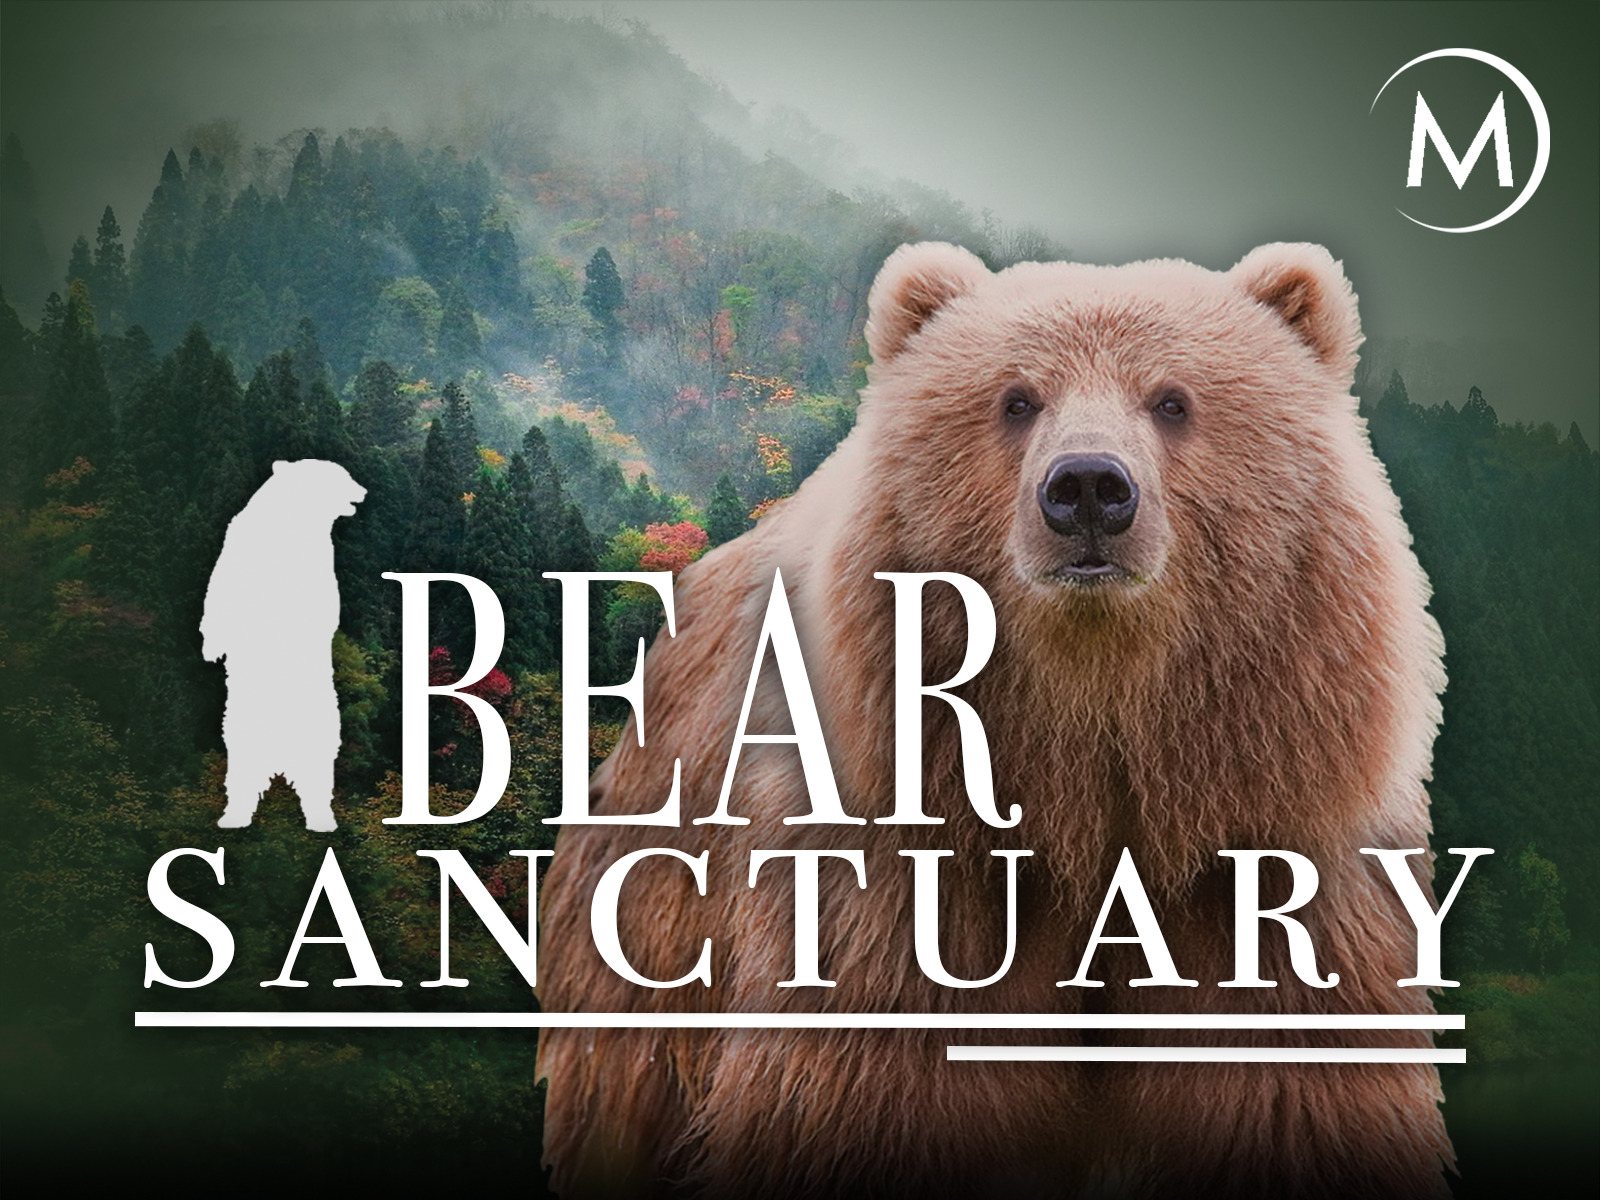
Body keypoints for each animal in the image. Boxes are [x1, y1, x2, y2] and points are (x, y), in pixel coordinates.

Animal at [201, 458, 366, 832]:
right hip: (241, 730)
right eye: (344, 476)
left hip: (319, 730)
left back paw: (322, 819)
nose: (363, 490)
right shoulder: (242, 546)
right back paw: (233, 816)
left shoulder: (314, 562)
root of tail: (279, 756)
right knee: (240, 772)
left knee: (318, 776)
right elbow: (222, 591)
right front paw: (211, 649)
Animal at [534, 243, 1451, 1199]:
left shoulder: (1269, 864)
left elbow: (1290, 1087)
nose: (1088, 489)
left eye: (1172, 399)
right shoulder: (908, 878)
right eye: (1017, 399)